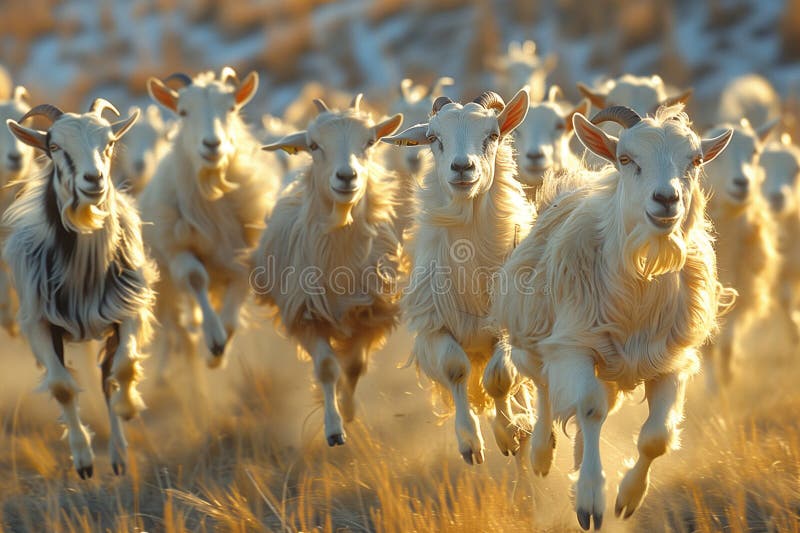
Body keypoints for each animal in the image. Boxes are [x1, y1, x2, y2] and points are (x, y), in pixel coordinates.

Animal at [3, 99, 157, 478]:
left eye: (110, 143)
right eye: (55, 146)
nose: (94, 180)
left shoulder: (128, 308)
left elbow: (123, 368)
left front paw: (128, 408)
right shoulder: (39, 324)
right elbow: (61, 386)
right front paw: (84, 460)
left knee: (106, 377)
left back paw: (119, 457)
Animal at [140, 68, 280, 376]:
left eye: (231, 108)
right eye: (182, 112)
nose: (212, 144)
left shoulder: (242, 258)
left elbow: (231, 316)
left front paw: (218, 353)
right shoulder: (178, 249)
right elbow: (195, 278)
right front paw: (213, 339)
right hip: (164, 282)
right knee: (176, 324)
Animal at [253, 95, 404, 446]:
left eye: (370, 142)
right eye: (313, 145)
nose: (347, 177)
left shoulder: (370, 314)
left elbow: (354, 367)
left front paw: (347, 411)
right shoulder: (306, 315)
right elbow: (326, 368)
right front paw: (334, 428)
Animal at [491, 105, 734, 530]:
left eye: (695, 161)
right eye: (625, 159)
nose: (666, 199)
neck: (637, 293)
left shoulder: (671, 361)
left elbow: (656, 437)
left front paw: (627, 499)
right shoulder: (574, 347)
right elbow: (588, 409)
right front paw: (590, 499)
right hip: (534, 337)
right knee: (544, 388)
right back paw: (541, 454)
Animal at [700, 118, 779, 391]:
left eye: (755, 151)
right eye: (717, 158)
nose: (742, 183)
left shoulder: (741, 286)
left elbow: (727, 342)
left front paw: (728, 375)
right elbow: (710, 343)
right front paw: (712, 389)